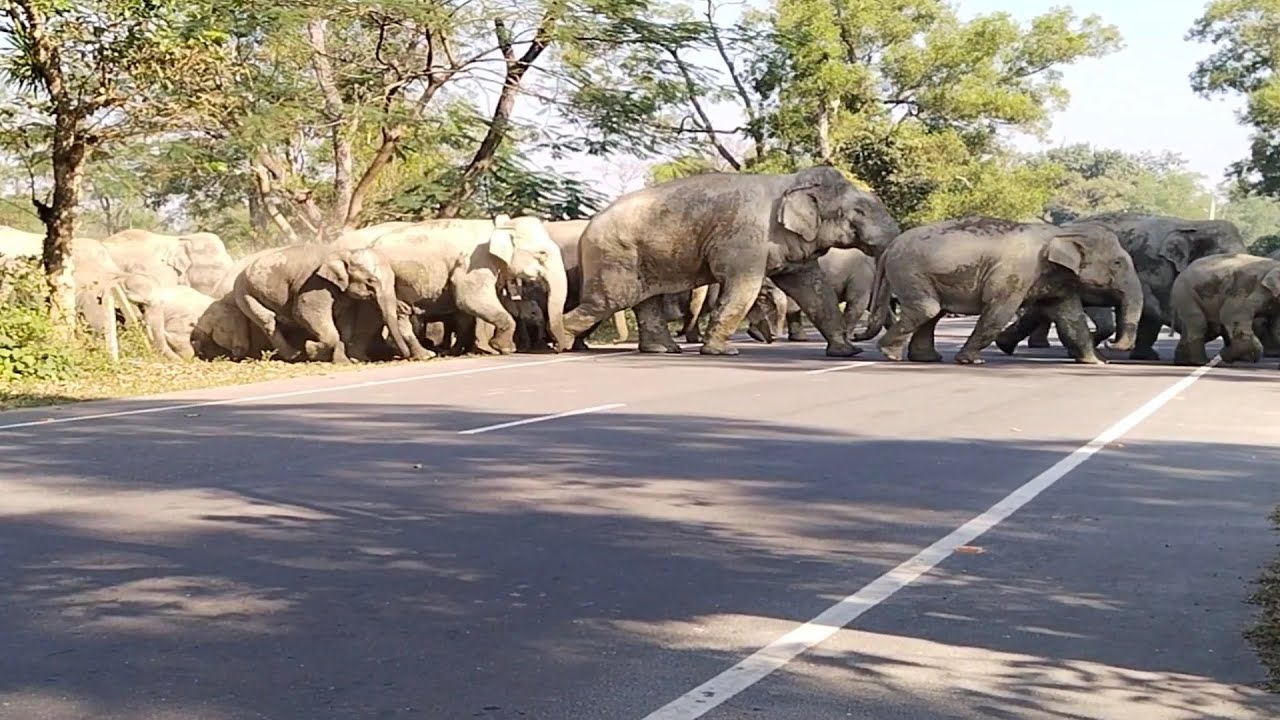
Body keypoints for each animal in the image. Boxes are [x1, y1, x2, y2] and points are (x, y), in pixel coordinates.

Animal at [231, 243, 414, 364]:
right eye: (370, 281)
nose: (404, 357)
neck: (344, 252)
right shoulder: (314, 284)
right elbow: (303, 313)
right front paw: (313, 350)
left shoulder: (344, 296)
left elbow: (345, 323)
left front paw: (343, 360)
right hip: (245, 293)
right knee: (268, 320)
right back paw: (295, 355)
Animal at [368, 215, 571, 357]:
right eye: (542, 253)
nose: (558, 348)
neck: (499, 227)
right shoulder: (474, 263)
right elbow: (470, 300)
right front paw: (504, 349)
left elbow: (469, 310)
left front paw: (486, 349)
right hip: (391, 278)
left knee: (401, 315)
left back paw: (424, 355)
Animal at [560, 165, 902, 357]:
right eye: (859, 212)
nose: (859, 341)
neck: (789, 182)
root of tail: (589, 226)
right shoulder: (746, 237)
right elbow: (742, 286)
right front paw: (722, 352)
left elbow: (814, 290)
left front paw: (847, 351)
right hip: (615, 257)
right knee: (606, 302)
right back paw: (559, 340)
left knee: (644, 301)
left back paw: (661, 350)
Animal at [858, 216, 1142, 365]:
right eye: (1118, 263)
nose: (1112, 345)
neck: (1061, 233)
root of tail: (890, 247)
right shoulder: (1016, 273)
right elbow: (999, 311)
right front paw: (970, 360)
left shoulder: (1058, 280)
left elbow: (1070, 318)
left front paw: (1096, 362)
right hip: (909, 271)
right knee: (927, 309)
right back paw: (892, 355)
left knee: (932, 313)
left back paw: (926, 359)